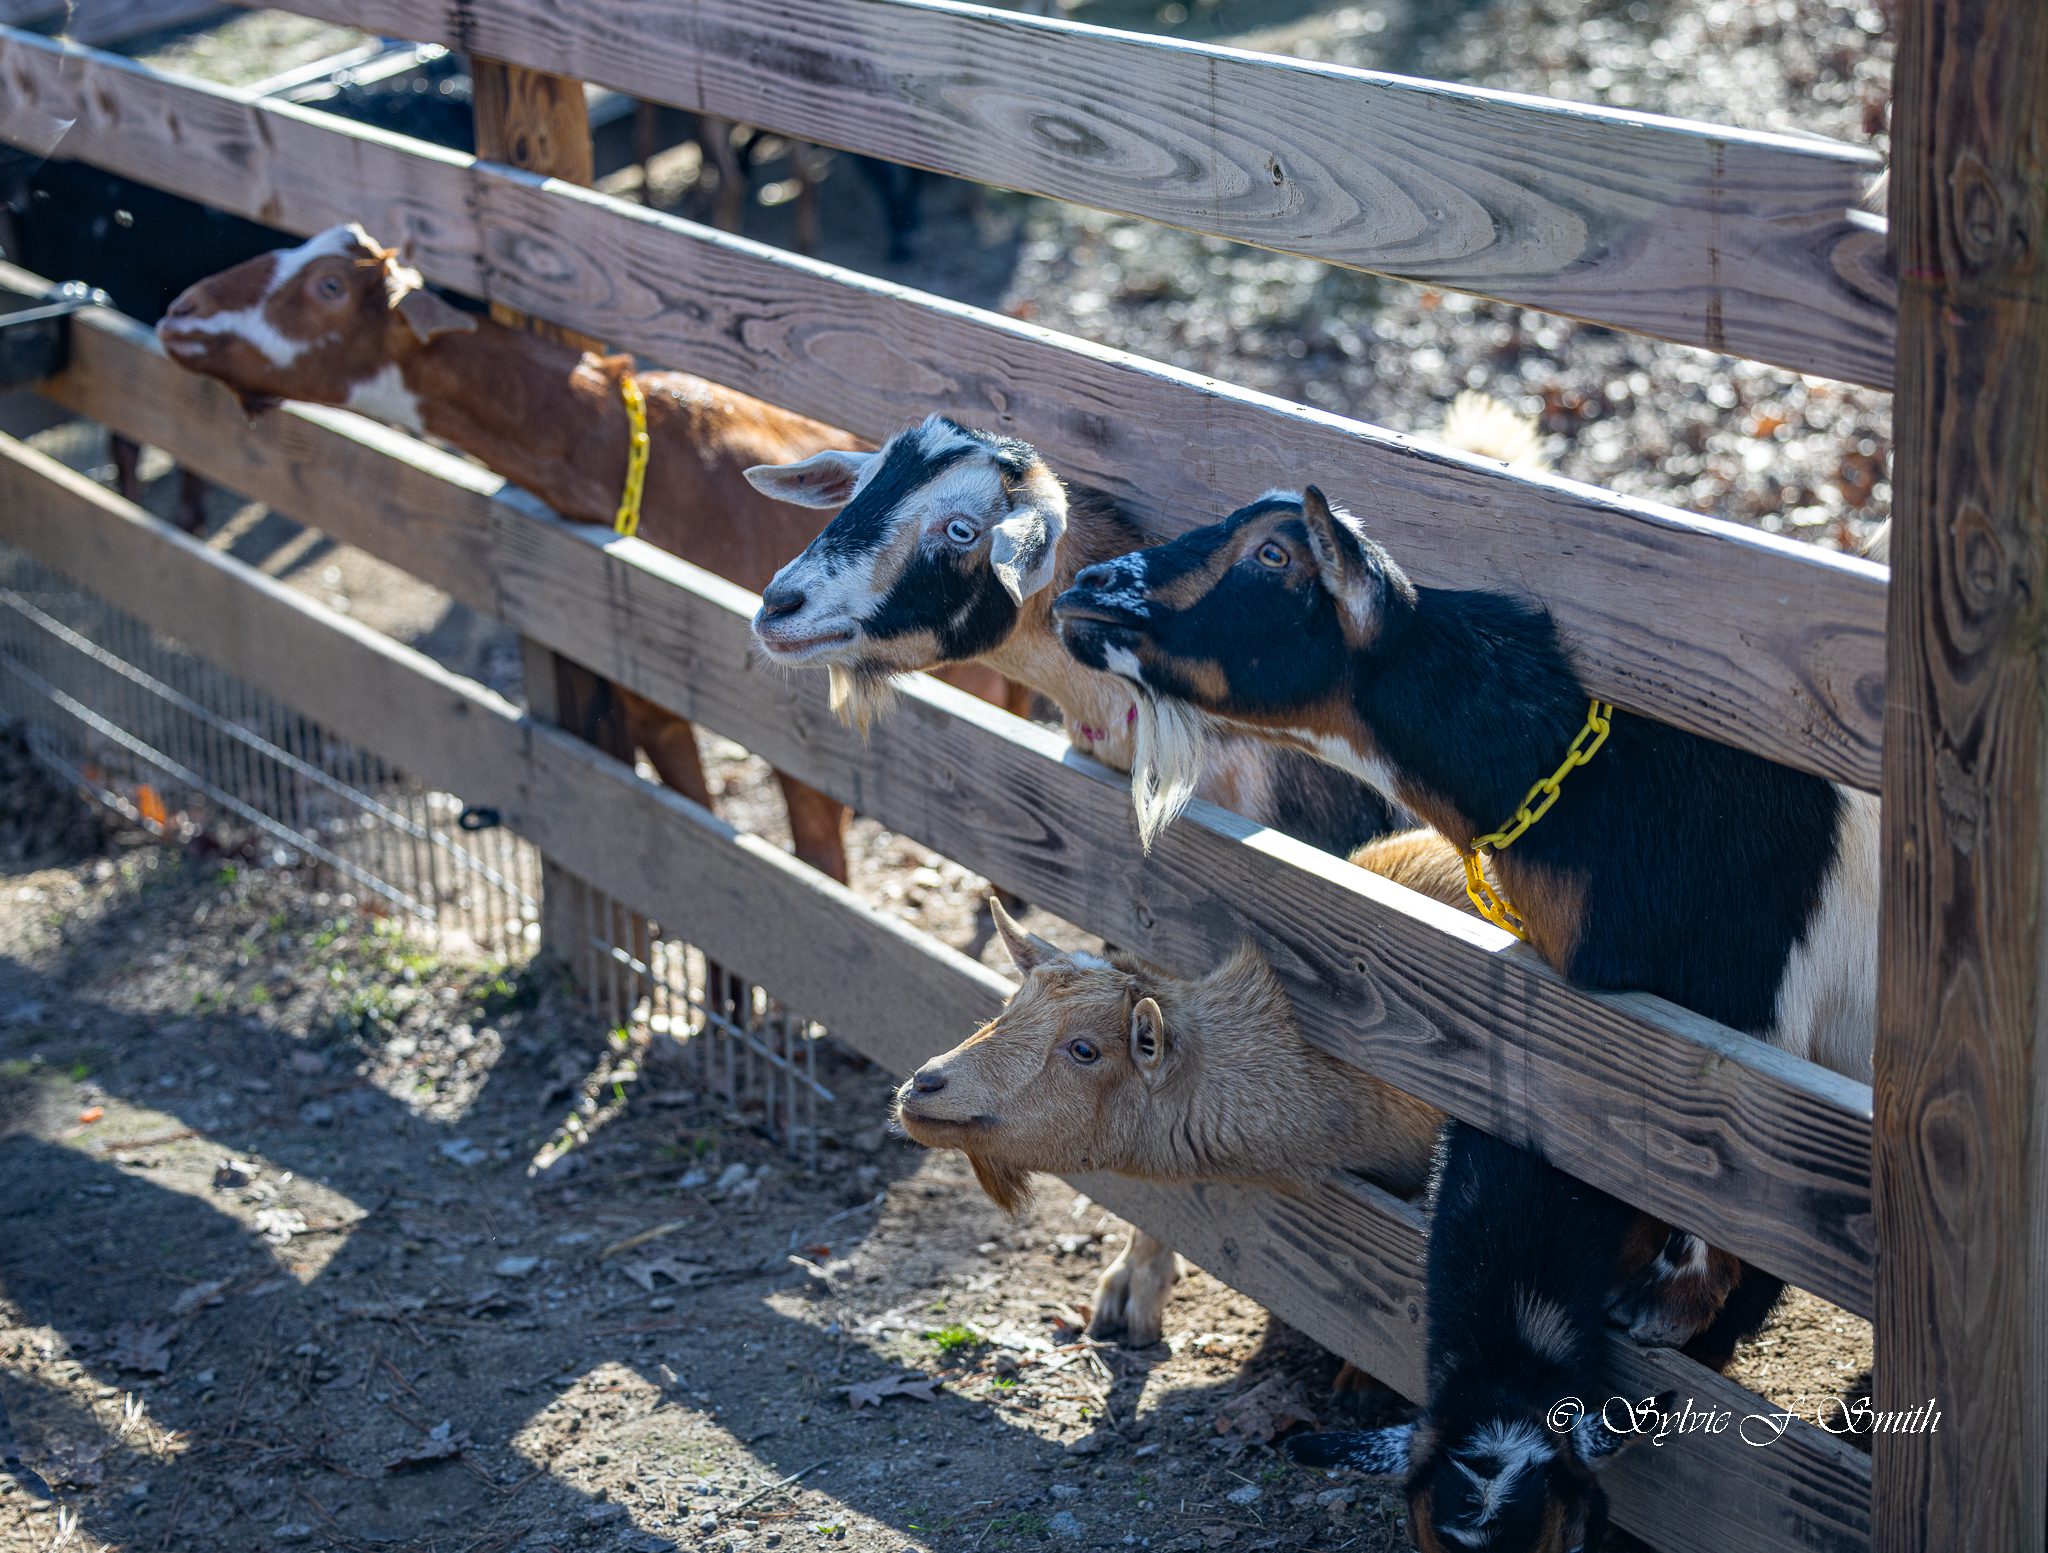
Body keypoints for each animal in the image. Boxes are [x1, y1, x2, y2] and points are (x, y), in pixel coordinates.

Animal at [155, 223, 1026, 882]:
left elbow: (822, 872)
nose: (177, 313)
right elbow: (694, 824)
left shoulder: (805, 742)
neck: (625, 455)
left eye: (330, 286)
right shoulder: (649, 701)